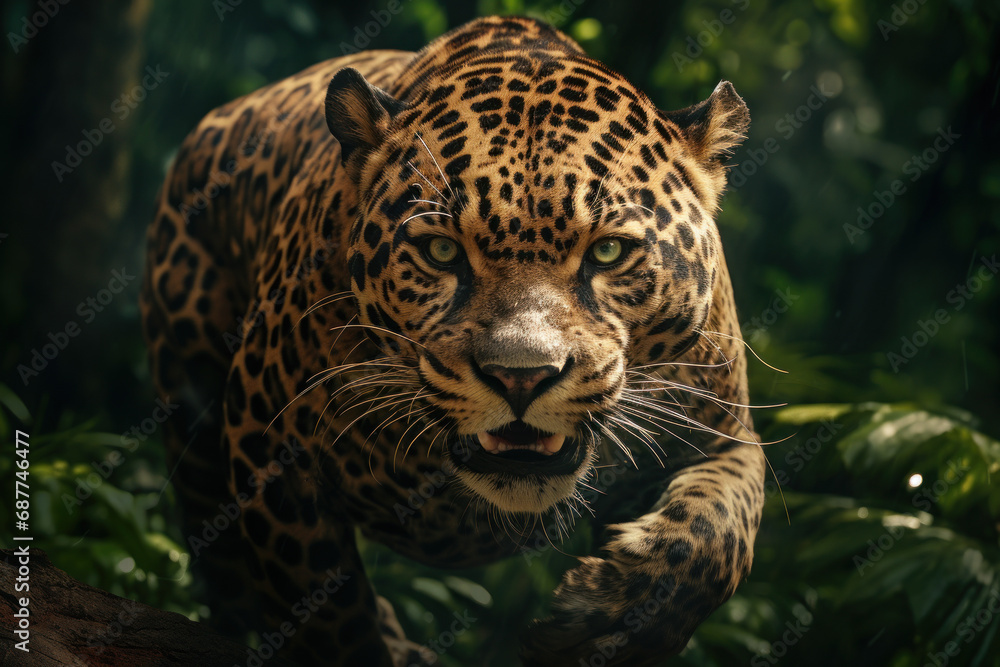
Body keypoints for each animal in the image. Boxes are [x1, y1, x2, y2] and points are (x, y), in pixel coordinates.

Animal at [141, 15, 765, 667]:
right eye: (441, 251)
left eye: (609, 252)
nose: (522, 377)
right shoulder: (270, 454)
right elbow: (329, 618)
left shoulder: (724, 436)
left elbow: (715, 539)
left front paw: (611, 620)